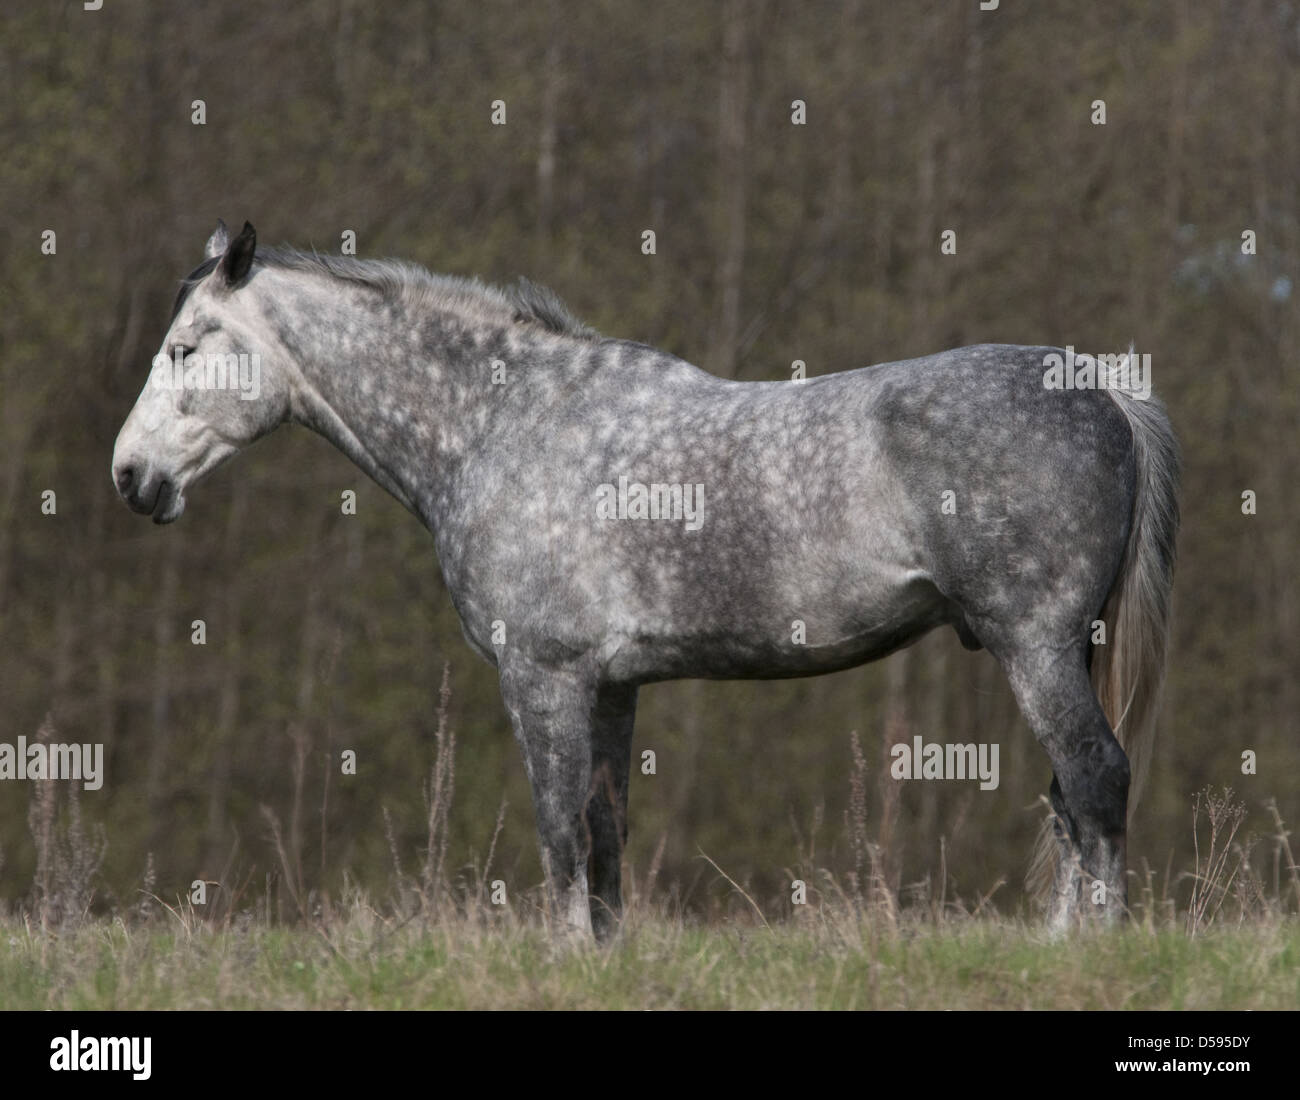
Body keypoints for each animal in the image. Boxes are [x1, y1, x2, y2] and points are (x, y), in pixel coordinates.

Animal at [112, 220, 1179, 939]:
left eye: (186, 347)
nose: (131, 476)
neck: (503, 424)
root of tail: (1101, 389)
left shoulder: (543, 675)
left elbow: (558, 832)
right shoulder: (614, 685)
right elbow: (606, 833)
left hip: (1033, 643)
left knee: (1095, 777)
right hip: (1060, 648)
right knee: (1070, 797)